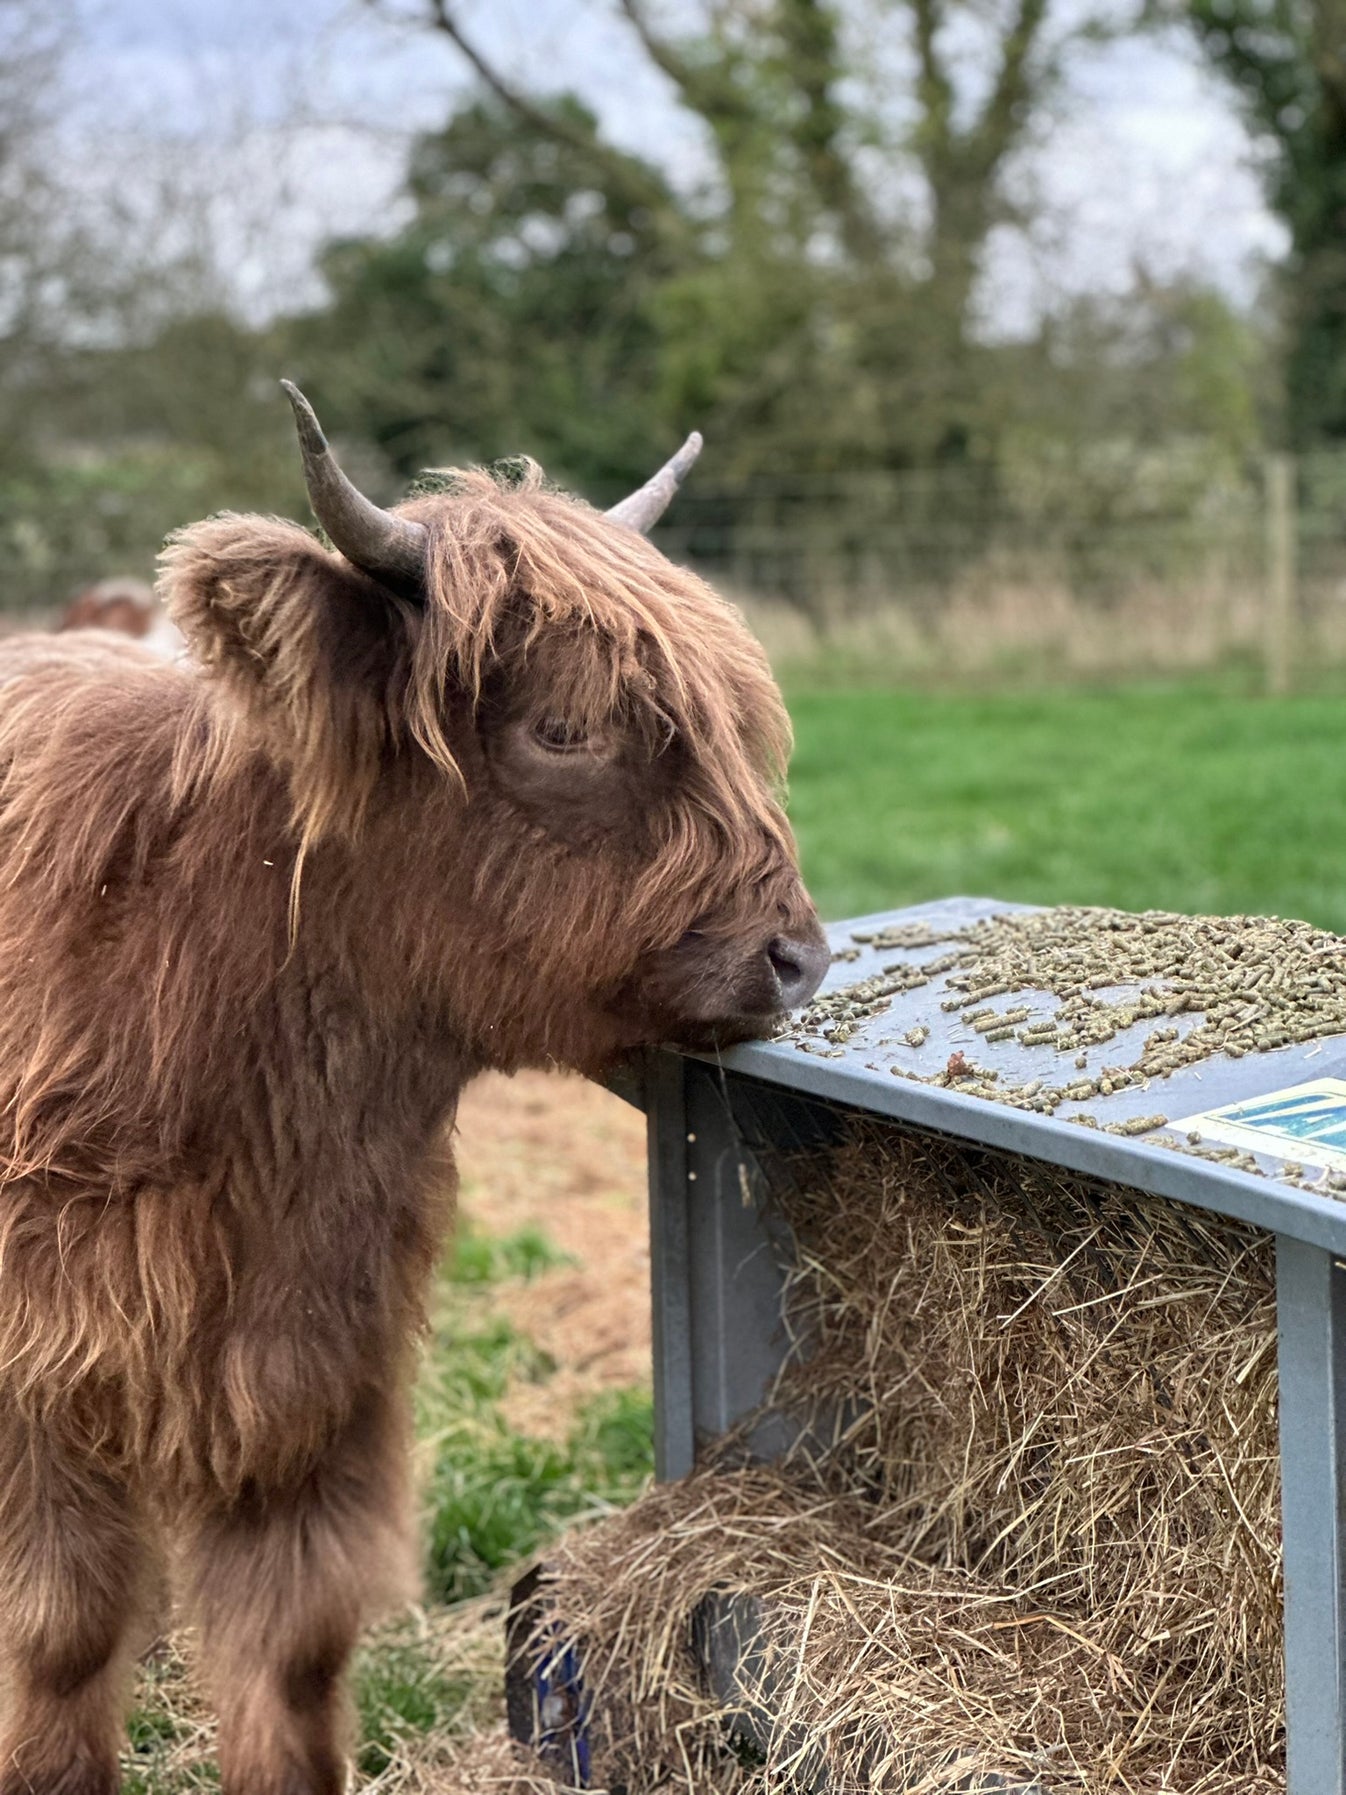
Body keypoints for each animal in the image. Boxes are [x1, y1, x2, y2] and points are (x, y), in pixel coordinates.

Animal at [0, 385, 829, 1795]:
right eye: (562, 727)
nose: (794, 953)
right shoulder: (41, 1392)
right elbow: (59, 1644)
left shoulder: (318, 1372)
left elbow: (291, 1656)